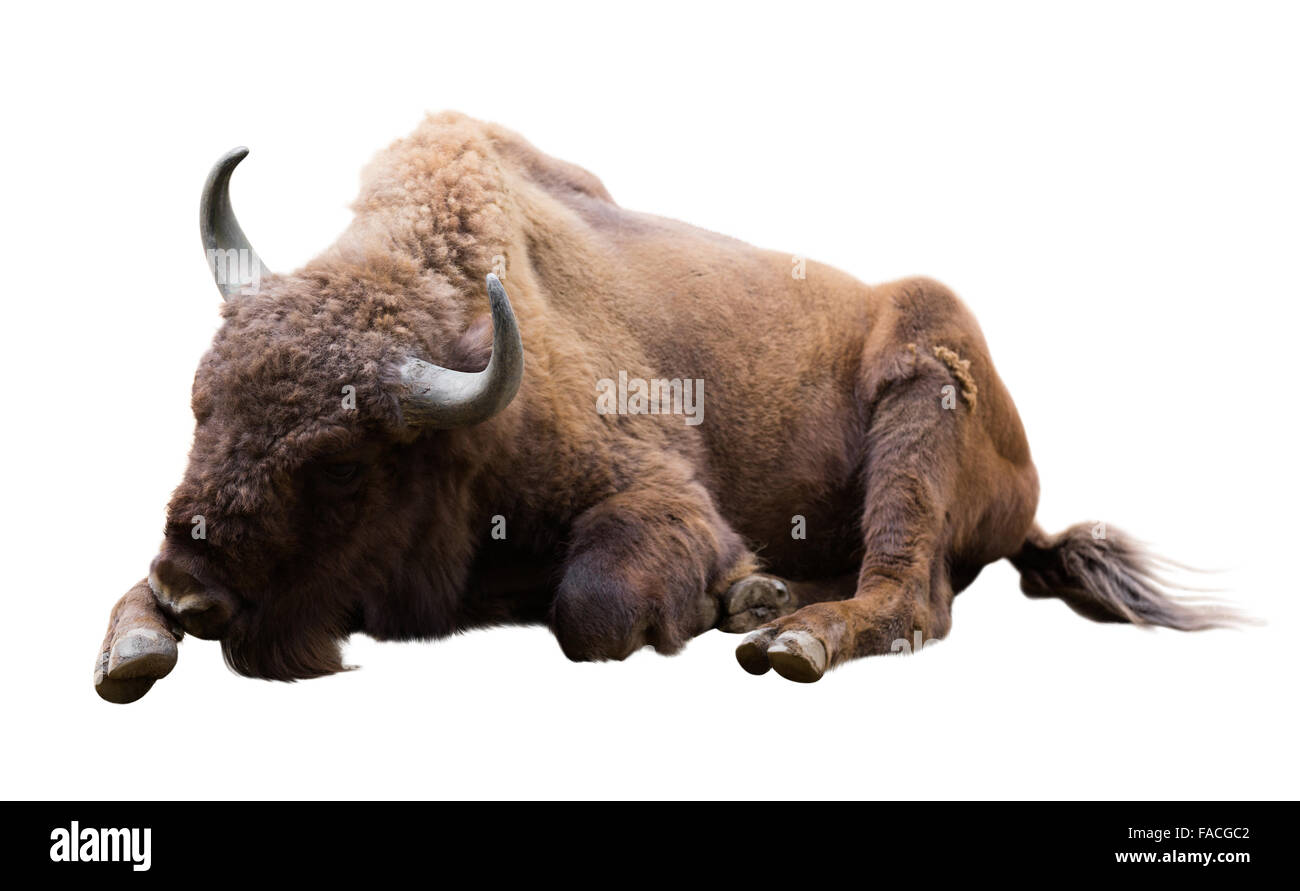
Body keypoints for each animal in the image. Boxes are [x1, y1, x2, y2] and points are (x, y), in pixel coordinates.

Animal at [94, 112, 1231, 703]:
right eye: (200, 403)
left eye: (338, 462)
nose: (196, 595)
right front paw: (137, 644)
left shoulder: (656, 492)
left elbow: (592, 606)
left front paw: (725, 597)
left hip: (923, 405)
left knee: (913, 593)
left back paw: (785, 638)